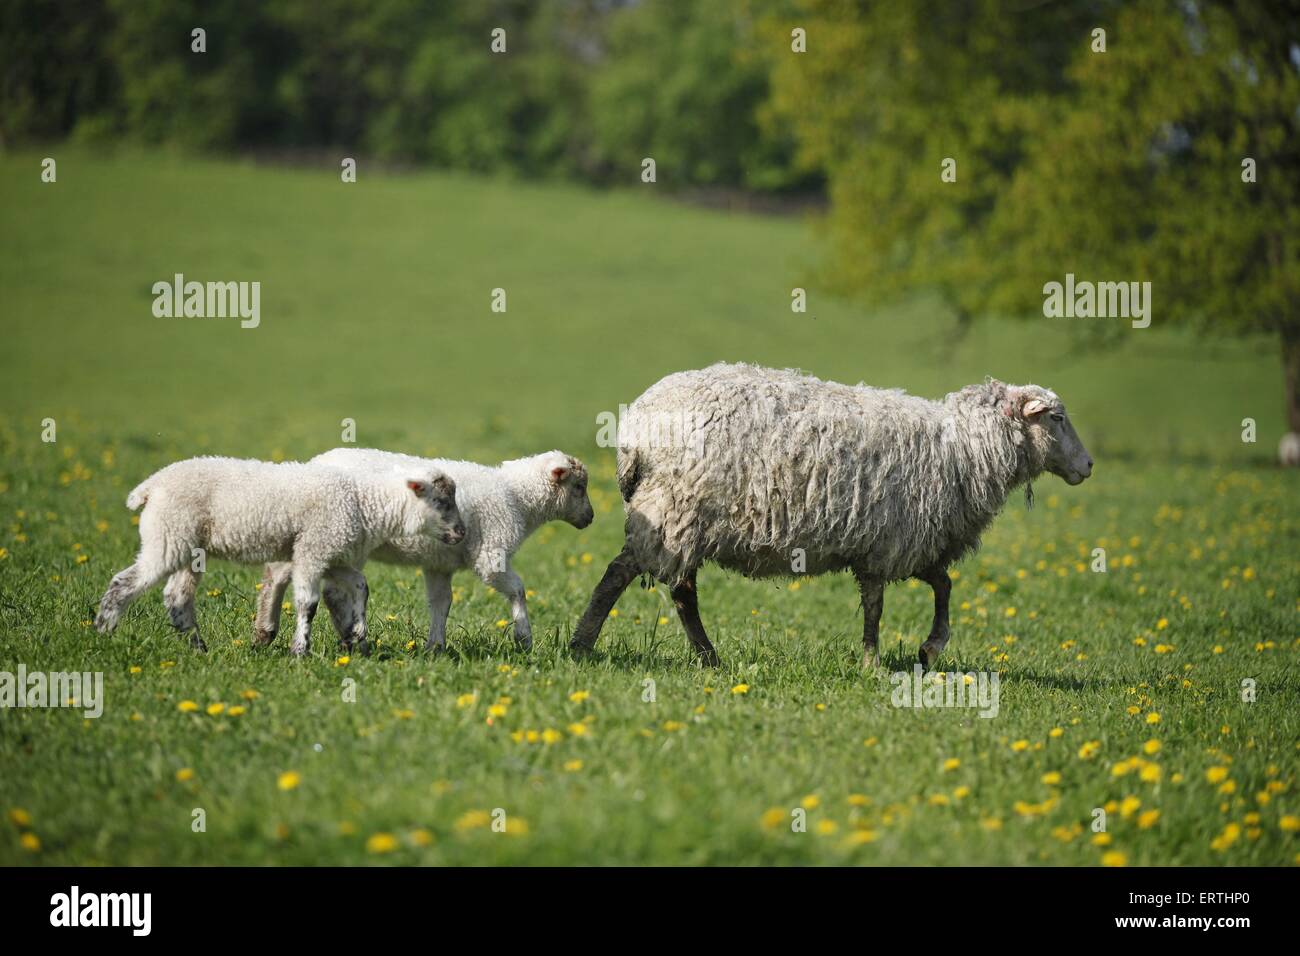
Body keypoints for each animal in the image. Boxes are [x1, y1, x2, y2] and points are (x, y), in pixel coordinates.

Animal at [94, 456, 465, 656]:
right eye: (442, 502)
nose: (461, 533)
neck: (363, 501)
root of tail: (149, 486)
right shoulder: (313, 551)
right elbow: (307, 603)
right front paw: (300, 650)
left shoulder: (330, 554)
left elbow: (361, 586)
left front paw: (358, 633)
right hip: (168, 537)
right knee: (124, 582)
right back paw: (103, 632)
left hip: (188, 547)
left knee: (177, 596)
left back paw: (198, 648)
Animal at [254, 449, 594, 652]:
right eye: (579, 487)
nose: (591, 518)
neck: (518, 497)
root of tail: (312, 465)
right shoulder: (490, 556)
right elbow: (519, 590)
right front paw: (523, 638)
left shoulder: (439, 564)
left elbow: (441, 602)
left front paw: (436, 647)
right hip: (330, 534)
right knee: (302, 581)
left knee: (290, 577)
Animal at [571, 362, 1093, 668]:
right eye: (1056, 418)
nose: (1087, 466)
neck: (964, 448)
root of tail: (636, 424)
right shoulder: (891, 542)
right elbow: (880, 606)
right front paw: (873, 662)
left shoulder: (911, 543)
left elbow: (943, 586)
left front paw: (927, 649)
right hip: (673, 510)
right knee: (623, 576)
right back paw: (584, 644)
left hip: (683, 520)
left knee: (680, 591)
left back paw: (707, 657)